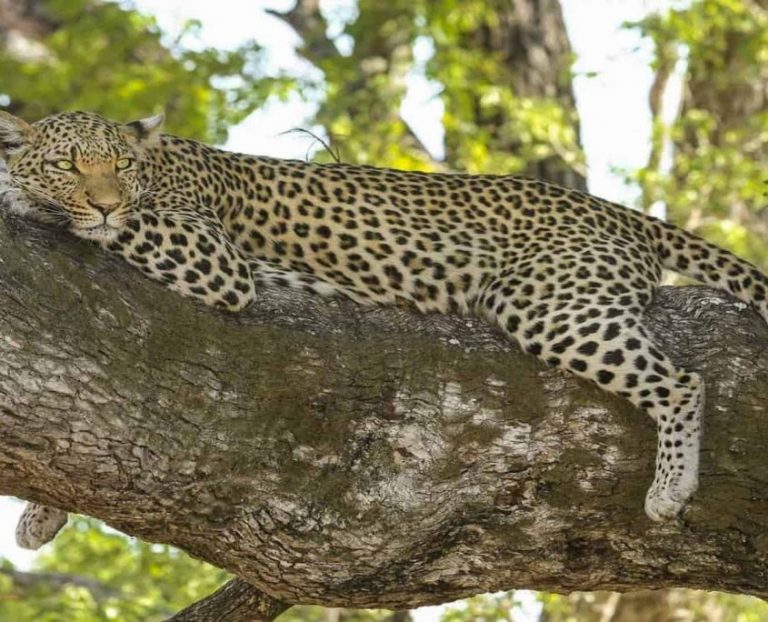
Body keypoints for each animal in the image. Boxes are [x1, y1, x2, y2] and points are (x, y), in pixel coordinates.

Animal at [1, 110, 766, 549]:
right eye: (70, 162)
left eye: (120, 166)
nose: (106, 200)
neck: (158, 168)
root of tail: (617, 211)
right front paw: (44, 514)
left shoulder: (209, 254)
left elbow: (115, 224)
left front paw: (21, 197)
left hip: (547, 303)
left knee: (683, 381)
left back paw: (670, 488)